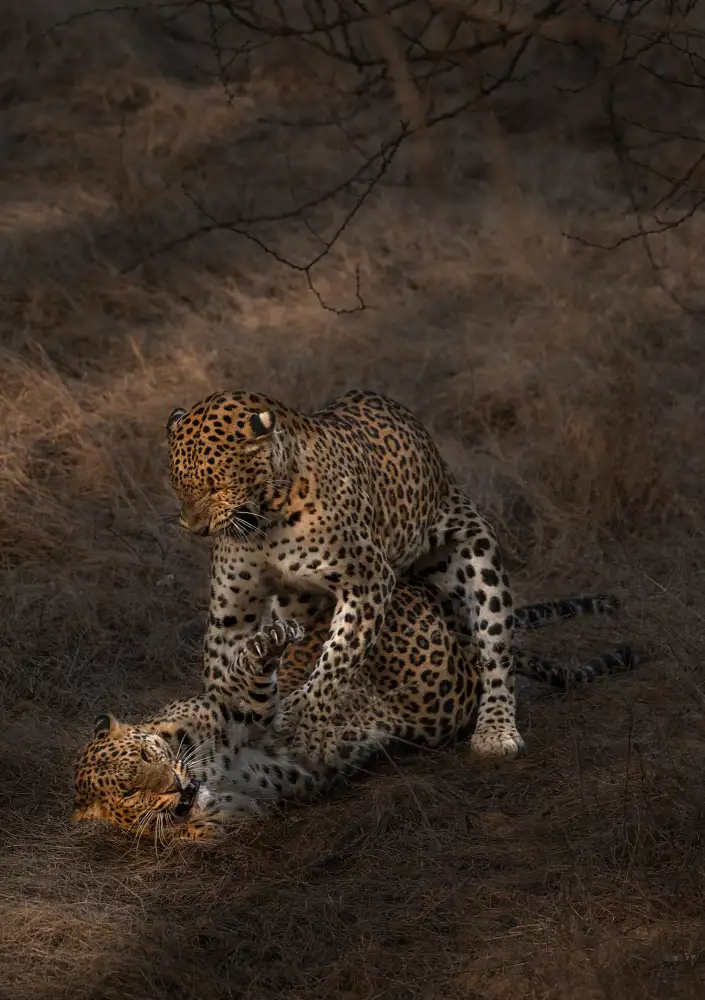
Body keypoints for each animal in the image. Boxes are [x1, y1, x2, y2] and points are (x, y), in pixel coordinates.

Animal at [72, 582, 637, 844]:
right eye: (129, 791)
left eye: (150, 753)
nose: (174, 784)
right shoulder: (243, 806)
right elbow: (213, 822)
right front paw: (187, 820)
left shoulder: (243, 715)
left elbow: (251, 687)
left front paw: (269, 642)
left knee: (499, 649)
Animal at [166, 389, 528, 759]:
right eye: (179, 487)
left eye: (217, 487)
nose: (195, 528)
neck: (264, 521)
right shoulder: (234, 610)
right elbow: (223, 673)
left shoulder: (368, 582)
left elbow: (336, 661)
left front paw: (305, 720)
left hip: (478, 555)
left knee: (497, 654)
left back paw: (496, 730)